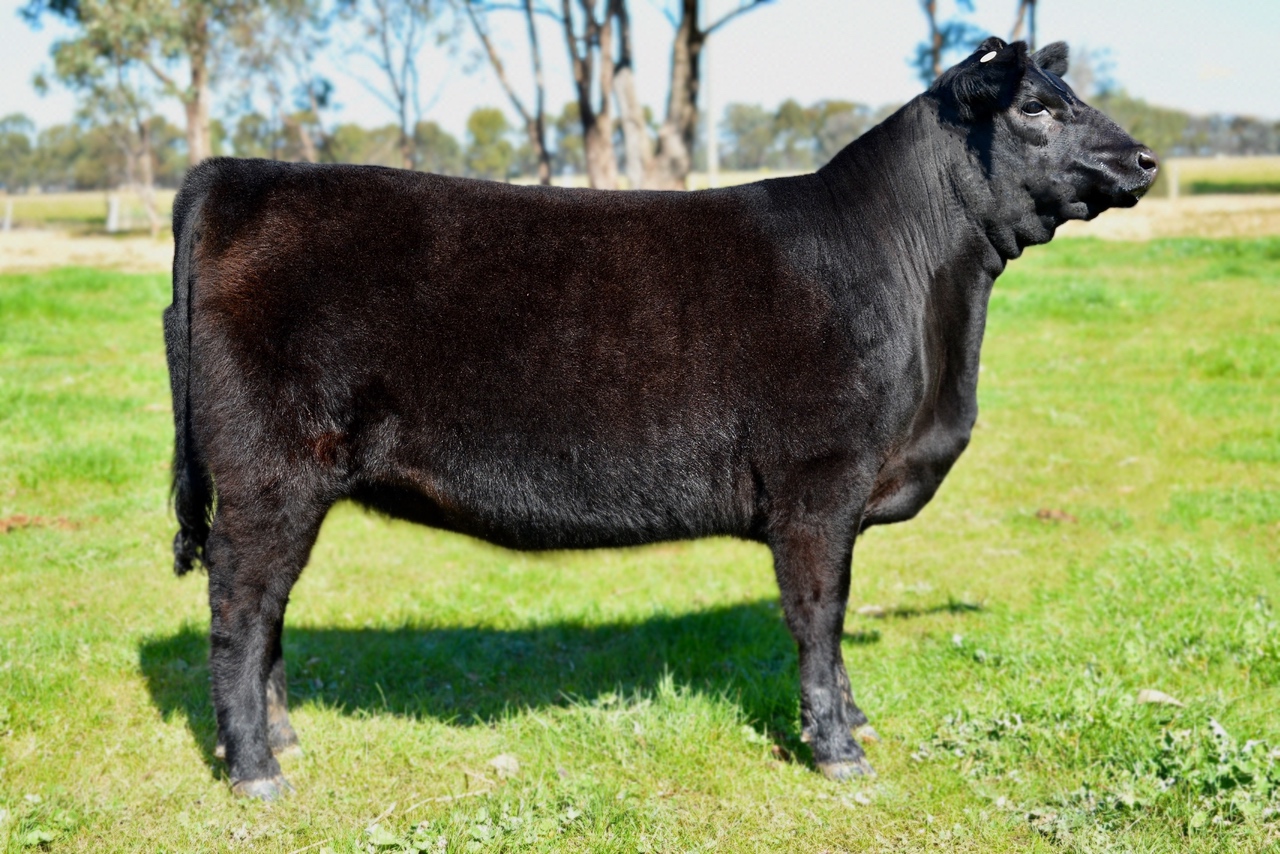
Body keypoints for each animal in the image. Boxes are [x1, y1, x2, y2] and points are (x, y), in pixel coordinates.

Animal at [164, 38, 1156, 799]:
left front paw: (856, 720)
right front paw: (837, 751)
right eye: (1036, 108)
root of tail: (235, 175)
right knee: (241, 607)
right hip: (267, 475)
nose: (1145, 158)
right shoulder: (819, 482)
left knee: (271, 610)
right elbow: (819, 615)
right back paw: (256, 769)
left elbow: (833, 627)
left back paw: (282, 737)